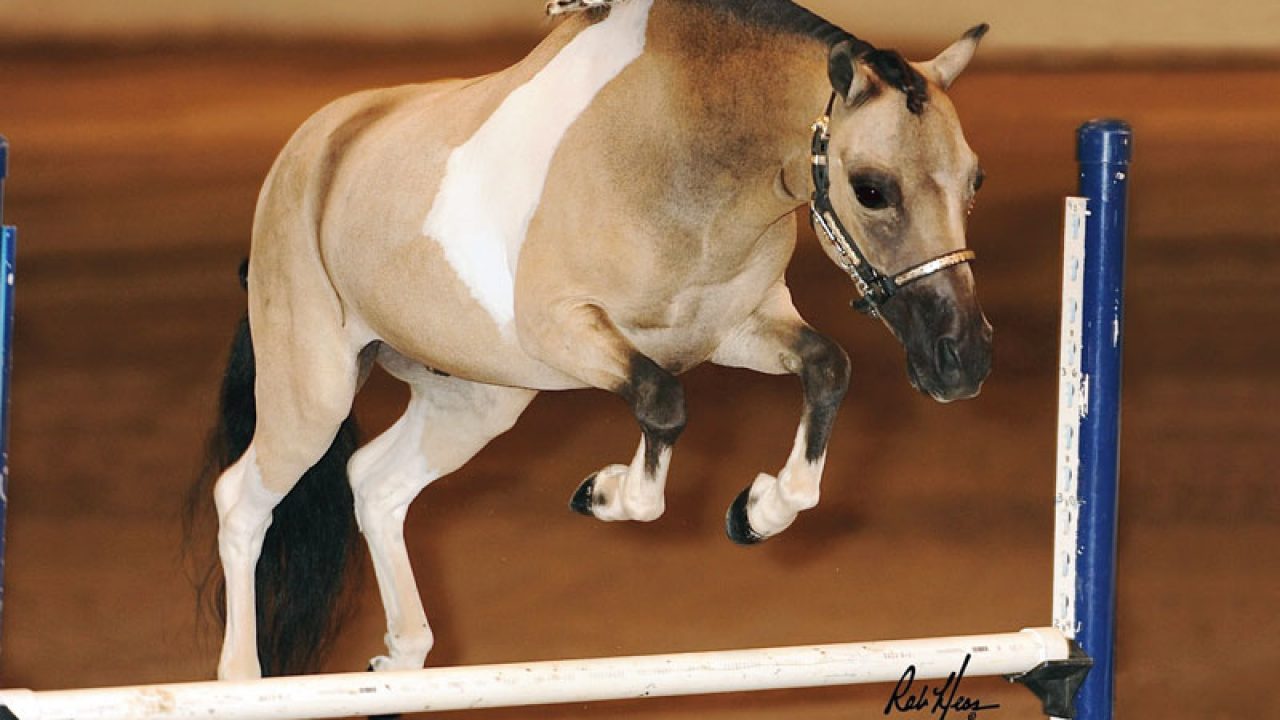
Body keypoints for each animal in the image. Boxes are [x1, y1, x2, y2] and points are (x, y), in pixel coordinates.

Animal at [192, 0, 993, 682]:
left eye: (975, 180)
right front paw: (603, 493)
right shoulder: (569, 329)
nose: (963, 361)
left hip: (476, 401)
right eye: (871, 189)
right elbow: (664, 406)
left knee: (374, 485)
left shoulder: (736, 329)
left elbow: (828, 368)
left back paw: (402, 659)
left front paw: (756, 511)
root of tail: (310, 151)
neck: (681, 149)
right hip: (315, 393)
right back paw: (243, 681)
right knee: (243, 500)